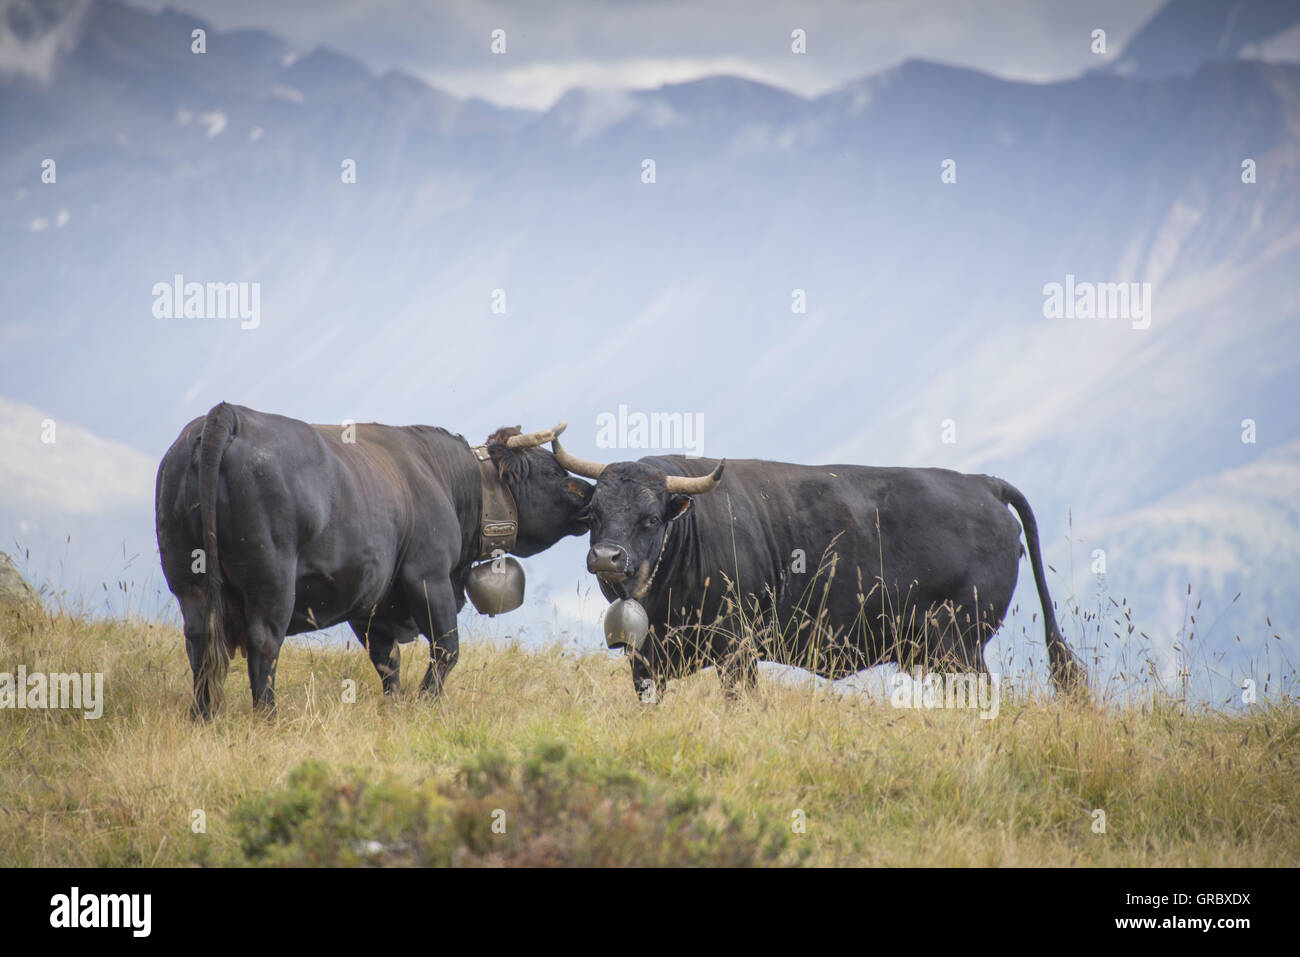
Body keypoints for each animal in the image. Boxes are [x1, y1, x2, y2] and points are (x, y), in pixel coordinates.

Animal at [156, 403, 593, 717]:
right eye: (551, 471)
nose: (591, 495)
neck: (446, 479)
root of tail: (227, 414)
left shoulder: (373, 605)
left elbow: (388, 662)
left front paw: (395, 709)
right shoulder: (428, 577)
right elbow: (447, 648)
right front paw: (424, 704)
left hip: (189, 581)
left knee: (200, 642)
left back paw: (202, 716)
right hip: (272, 581)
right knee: (264, 642)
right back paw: (267, 717)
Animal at [551, 440, 1085, 702]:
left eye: (651, 517)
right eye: (594, 512)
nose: (606, 558)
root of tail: (984, 484)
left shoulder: (736, 645)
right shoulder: (645, 658)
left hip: (959, 642)